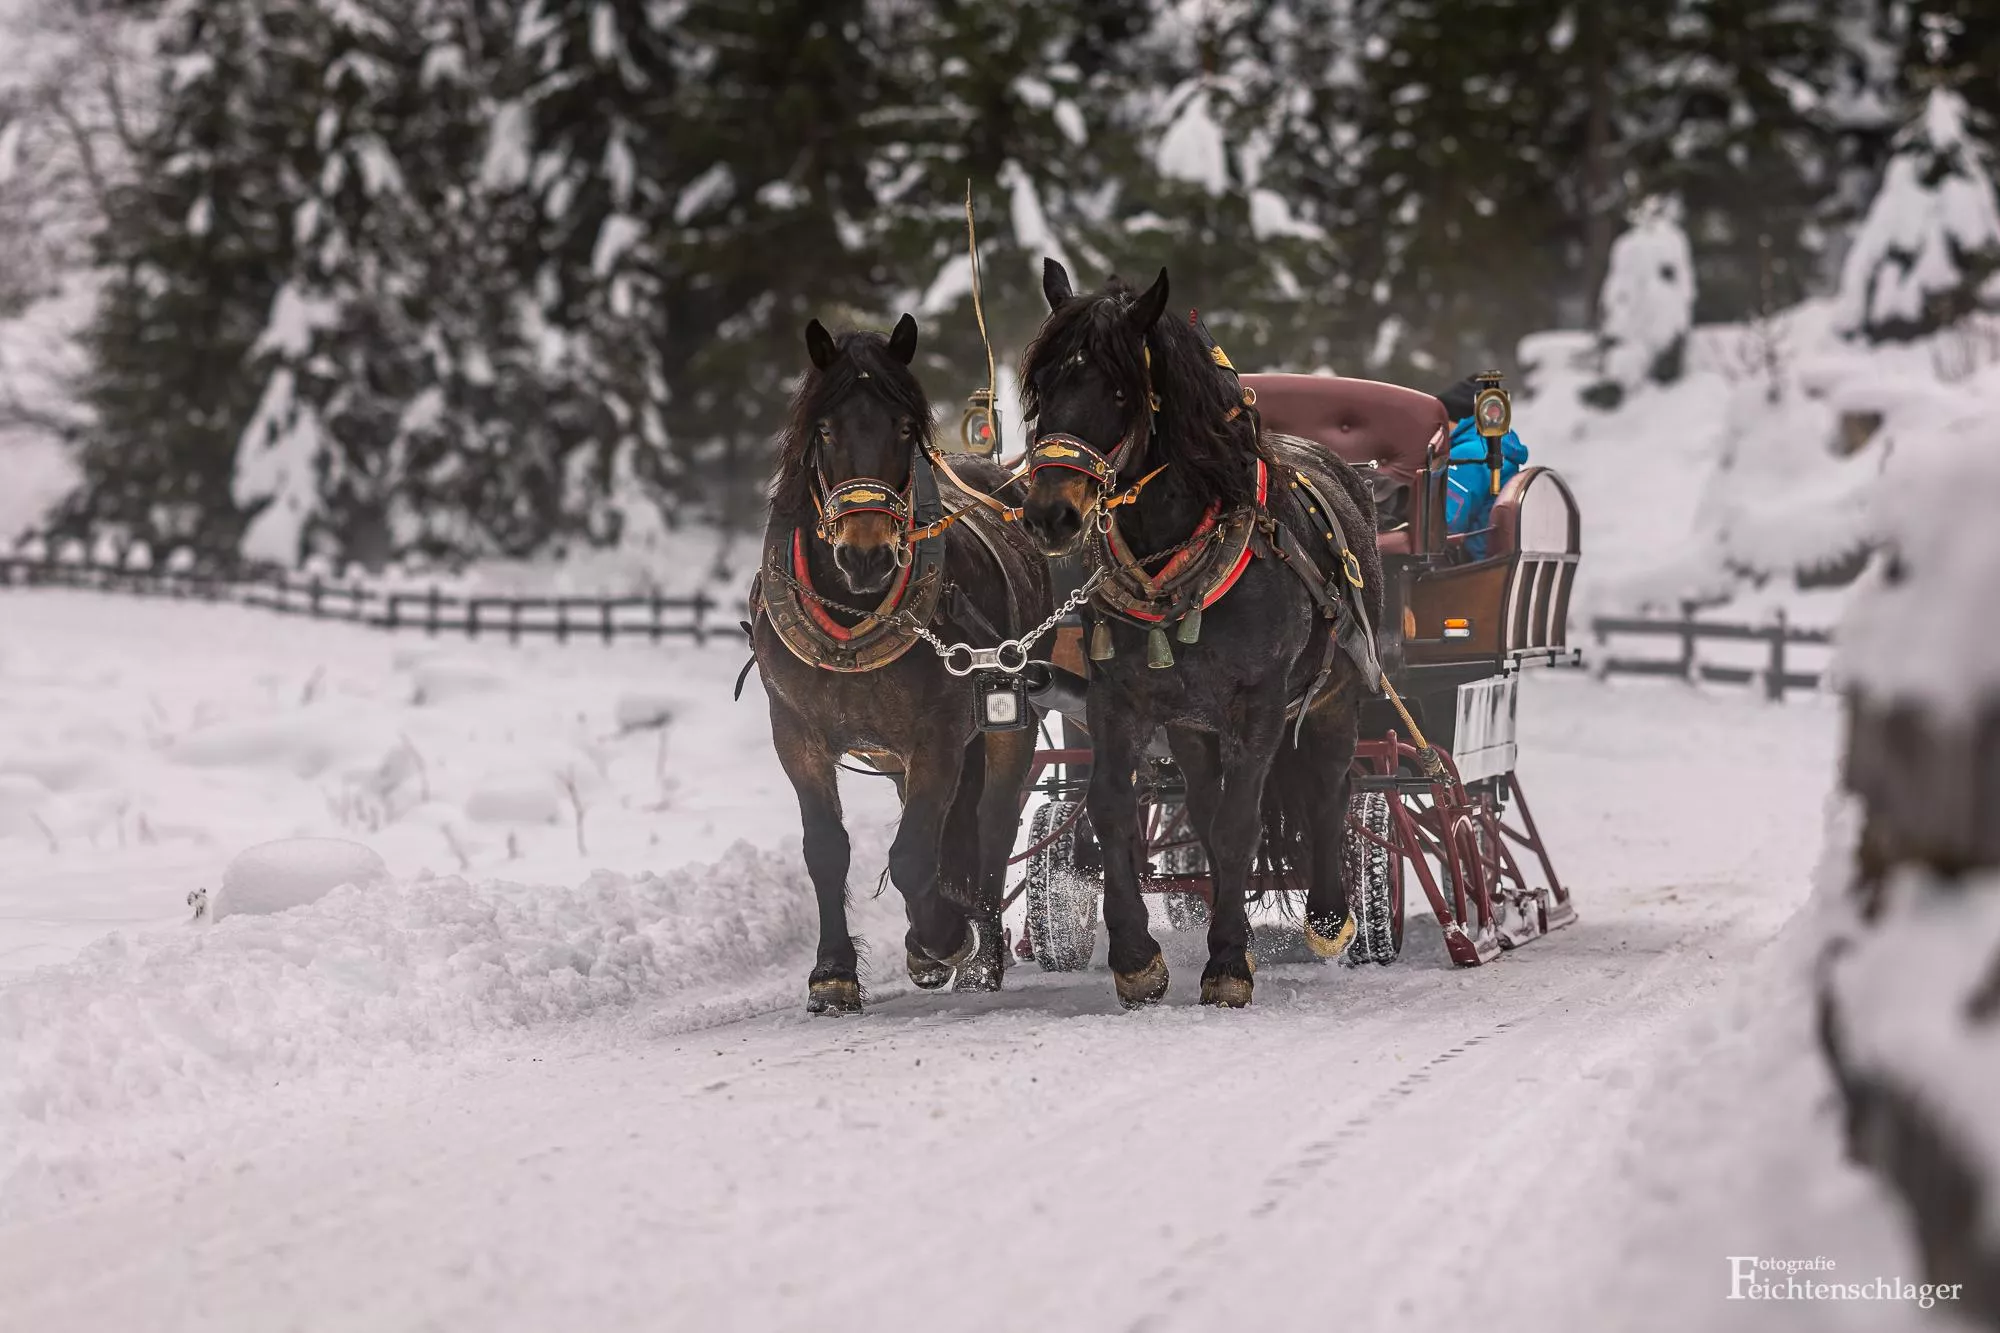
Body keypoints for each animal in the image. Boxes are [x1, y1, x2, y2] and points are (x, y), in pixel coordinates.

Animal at [749, 313, 1053, 1014]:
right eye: (825, 430)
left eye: (906, 429)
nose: (867, 555)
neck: (855, 615)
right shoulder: (795, 732)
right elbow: (826, 849)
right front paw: (832, 973)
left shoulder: (938, 733)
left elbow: (915, 851)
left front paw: (941, 938)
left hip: (1010, 722)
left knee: (993, 825)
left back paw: (982, 953)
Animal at [1015, 260, 1385, 1008]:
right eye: (1041, 389)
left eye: (1119, 390)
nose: (1049, 514)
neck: (1174, 556)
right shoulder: (1118, 696)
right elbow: (1112, 805)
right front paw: (1136, 957)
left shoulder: (1262, 700)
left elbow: (1246, 819)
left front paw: (1228, 965)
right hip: (1192, 725)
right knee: (1205, 808)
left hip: (1333, 697)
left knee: (1329, 791)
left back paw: (1330, 915)